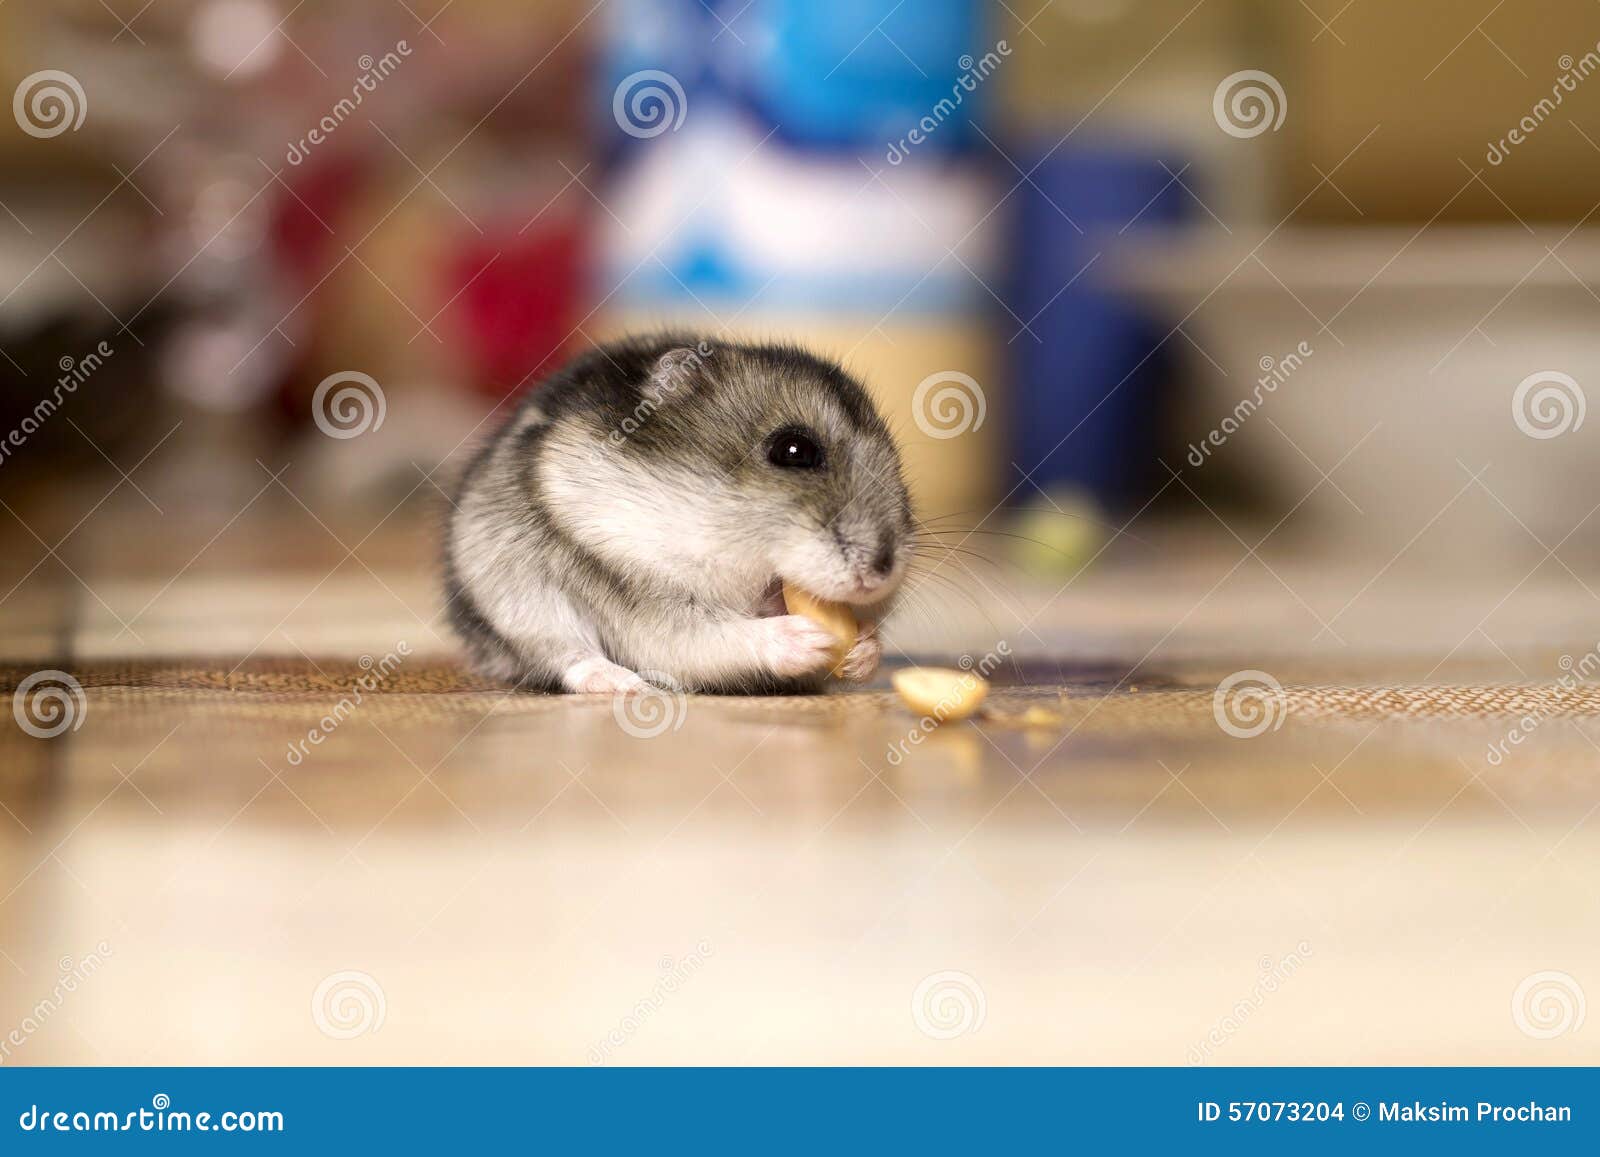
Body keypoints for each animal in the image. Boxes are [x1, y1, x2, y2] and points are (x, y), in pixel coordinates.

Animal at [443, 333, 914, 694]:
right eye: (793, 450)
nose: (881, 574)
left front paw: (865, 650)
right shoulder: (646, 602)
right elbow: (704, 638)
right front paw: (807, 639)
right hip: (517, 604)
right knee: (568, 655)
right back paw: (625, 685)